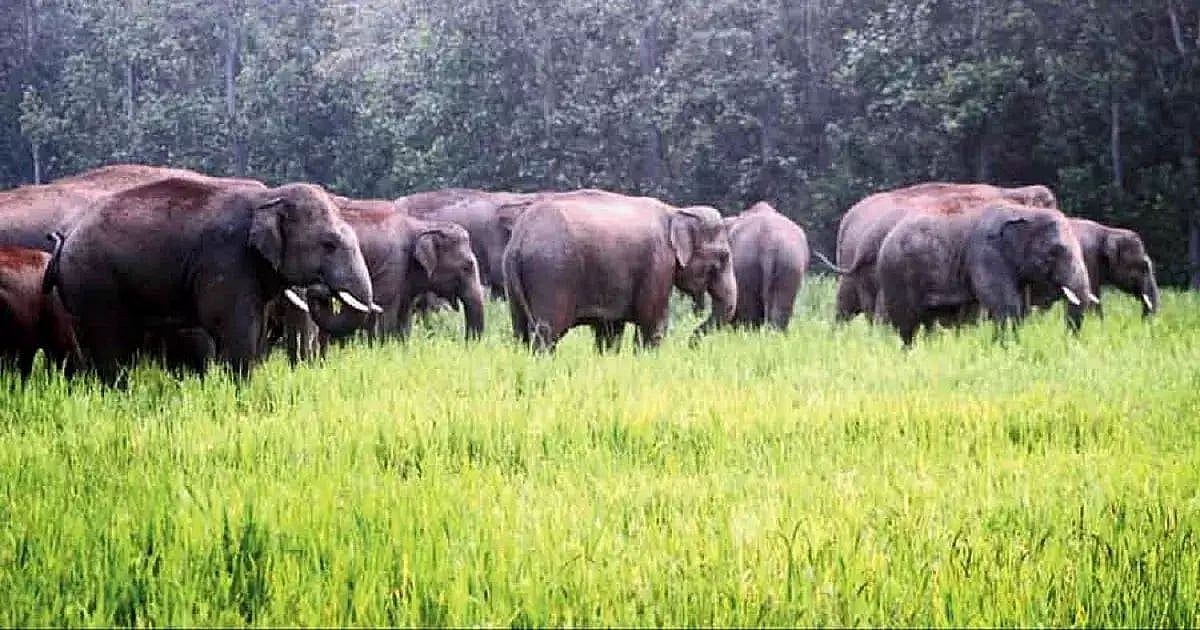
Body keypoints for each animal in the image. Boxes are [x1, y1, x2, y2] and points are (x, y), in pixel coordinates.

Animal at [52, 177, 373, 384]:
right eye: (329, 244)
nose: (319, 290)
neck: (268, 198)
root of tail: (66, 235)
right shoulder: (226, 260)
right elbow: (234, 326)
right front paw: (242, 393)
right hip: (93, 281)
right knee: (110, 340)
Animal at [298, 197, 485, 345]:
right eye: (467, 266)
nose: (466, 346)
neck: (422, 225)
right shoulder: (392, 266)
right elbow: (385, 312)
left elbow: (404, 316)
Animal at [503, 190, 736, 352]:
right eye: (724, 256)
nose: (691, 343)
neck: (676, 211)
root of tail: (519, 238)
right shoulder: (658, 264)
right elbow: (653, 324)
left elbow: (610, 332)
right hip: (552, 275)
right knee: (547, 333)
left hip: (514, 280)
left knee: (521, 331)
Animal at [876, 203, 1096, 346]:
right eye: (1054, 252)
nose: (1069, 342)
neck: (1026, 211)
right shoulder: (986, 255)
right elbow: (1006, 305)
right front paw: (1005, 347)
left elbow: (1019, 307)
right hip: (896, 275)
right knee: (907, 323)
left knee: (928, 322)